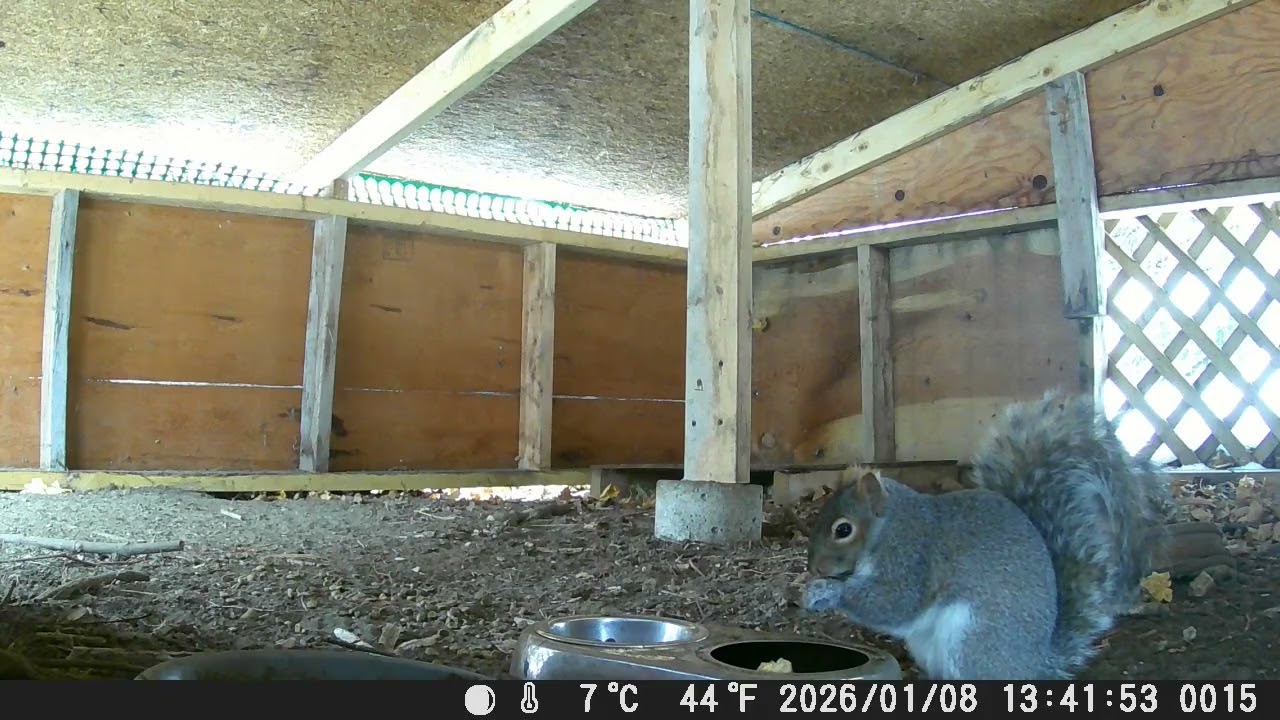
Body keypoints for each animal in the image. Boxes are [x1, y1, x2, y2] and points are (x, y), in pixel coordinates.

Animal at [801, 389, 1169, 680]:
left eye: (843, 530)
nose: (815, 568)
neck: (889, 528)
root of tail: (1034, 666)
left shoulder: (911, 559)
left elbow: (893, 603)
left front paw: (827, 593)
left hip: (973, 639)